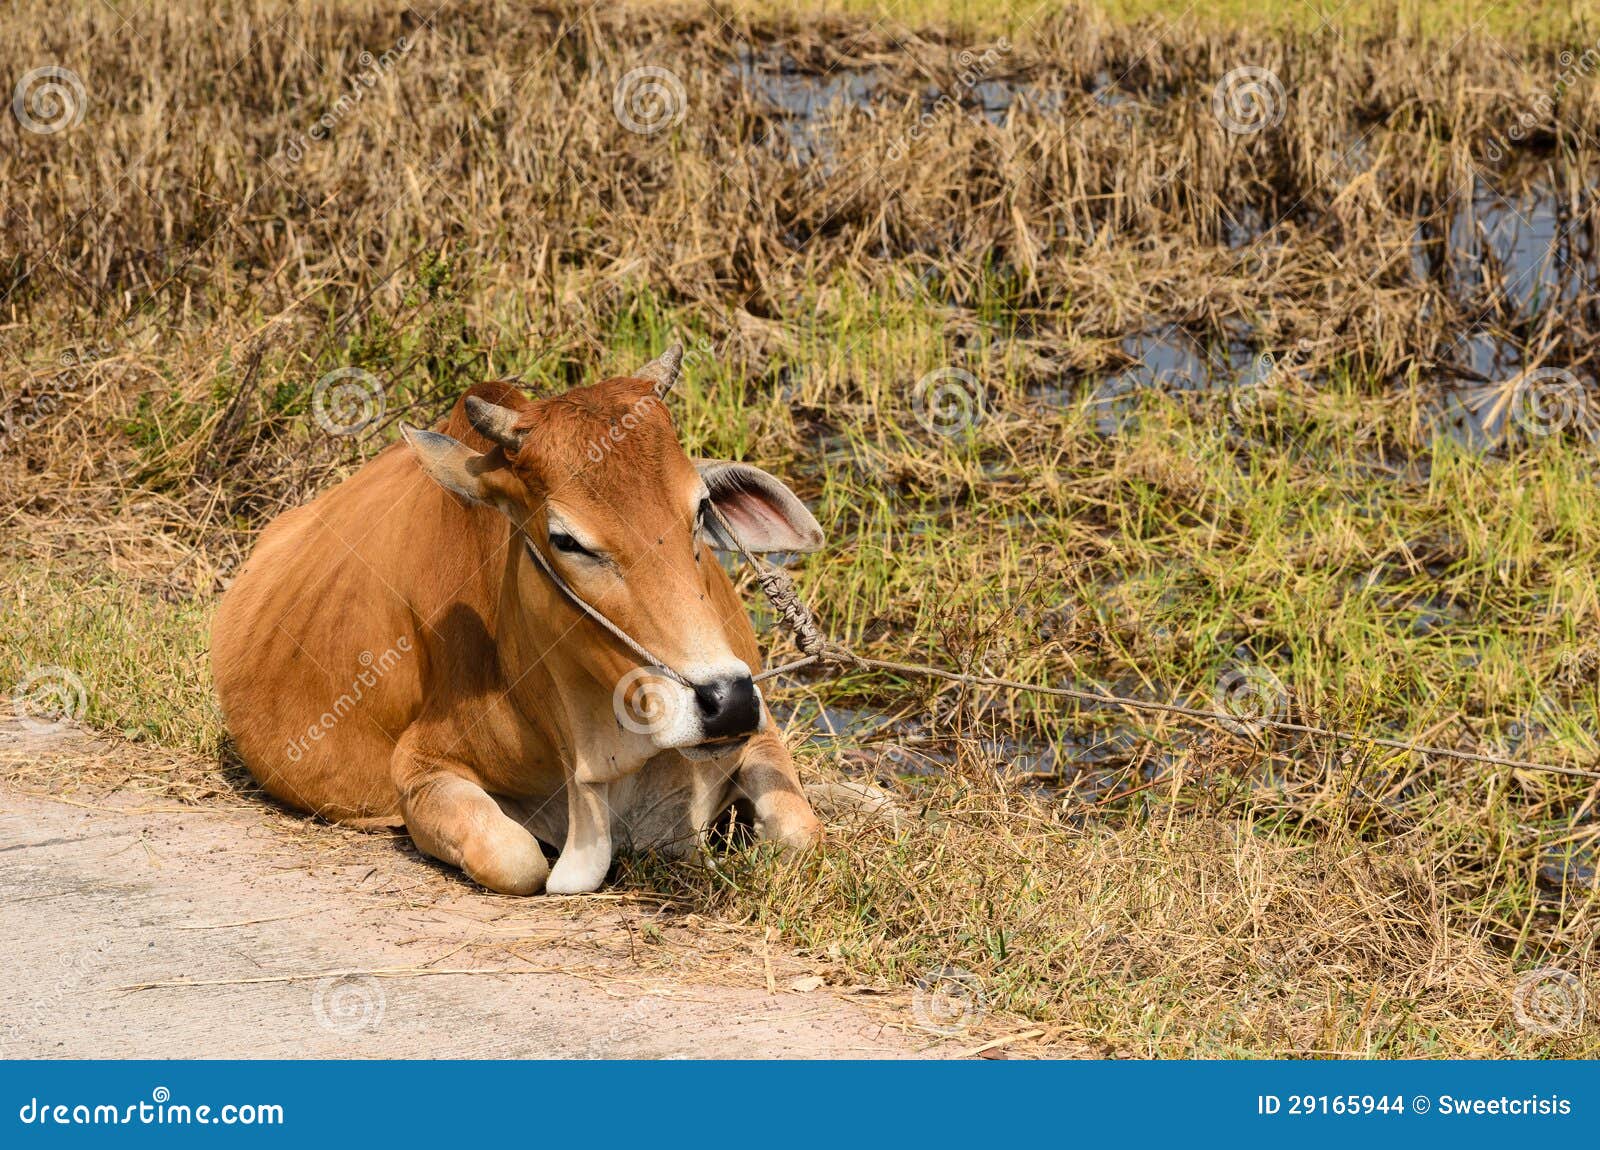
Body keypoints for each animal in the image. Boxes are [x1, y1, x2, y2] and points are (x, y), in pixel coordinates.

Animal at [210, 347, 824, 894]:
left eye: (699, 509)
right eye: (565, 540)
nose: (727, 701)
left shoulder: (763, 733)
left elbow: (801, 835)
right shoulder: (420, 768)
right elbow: (516, 858)